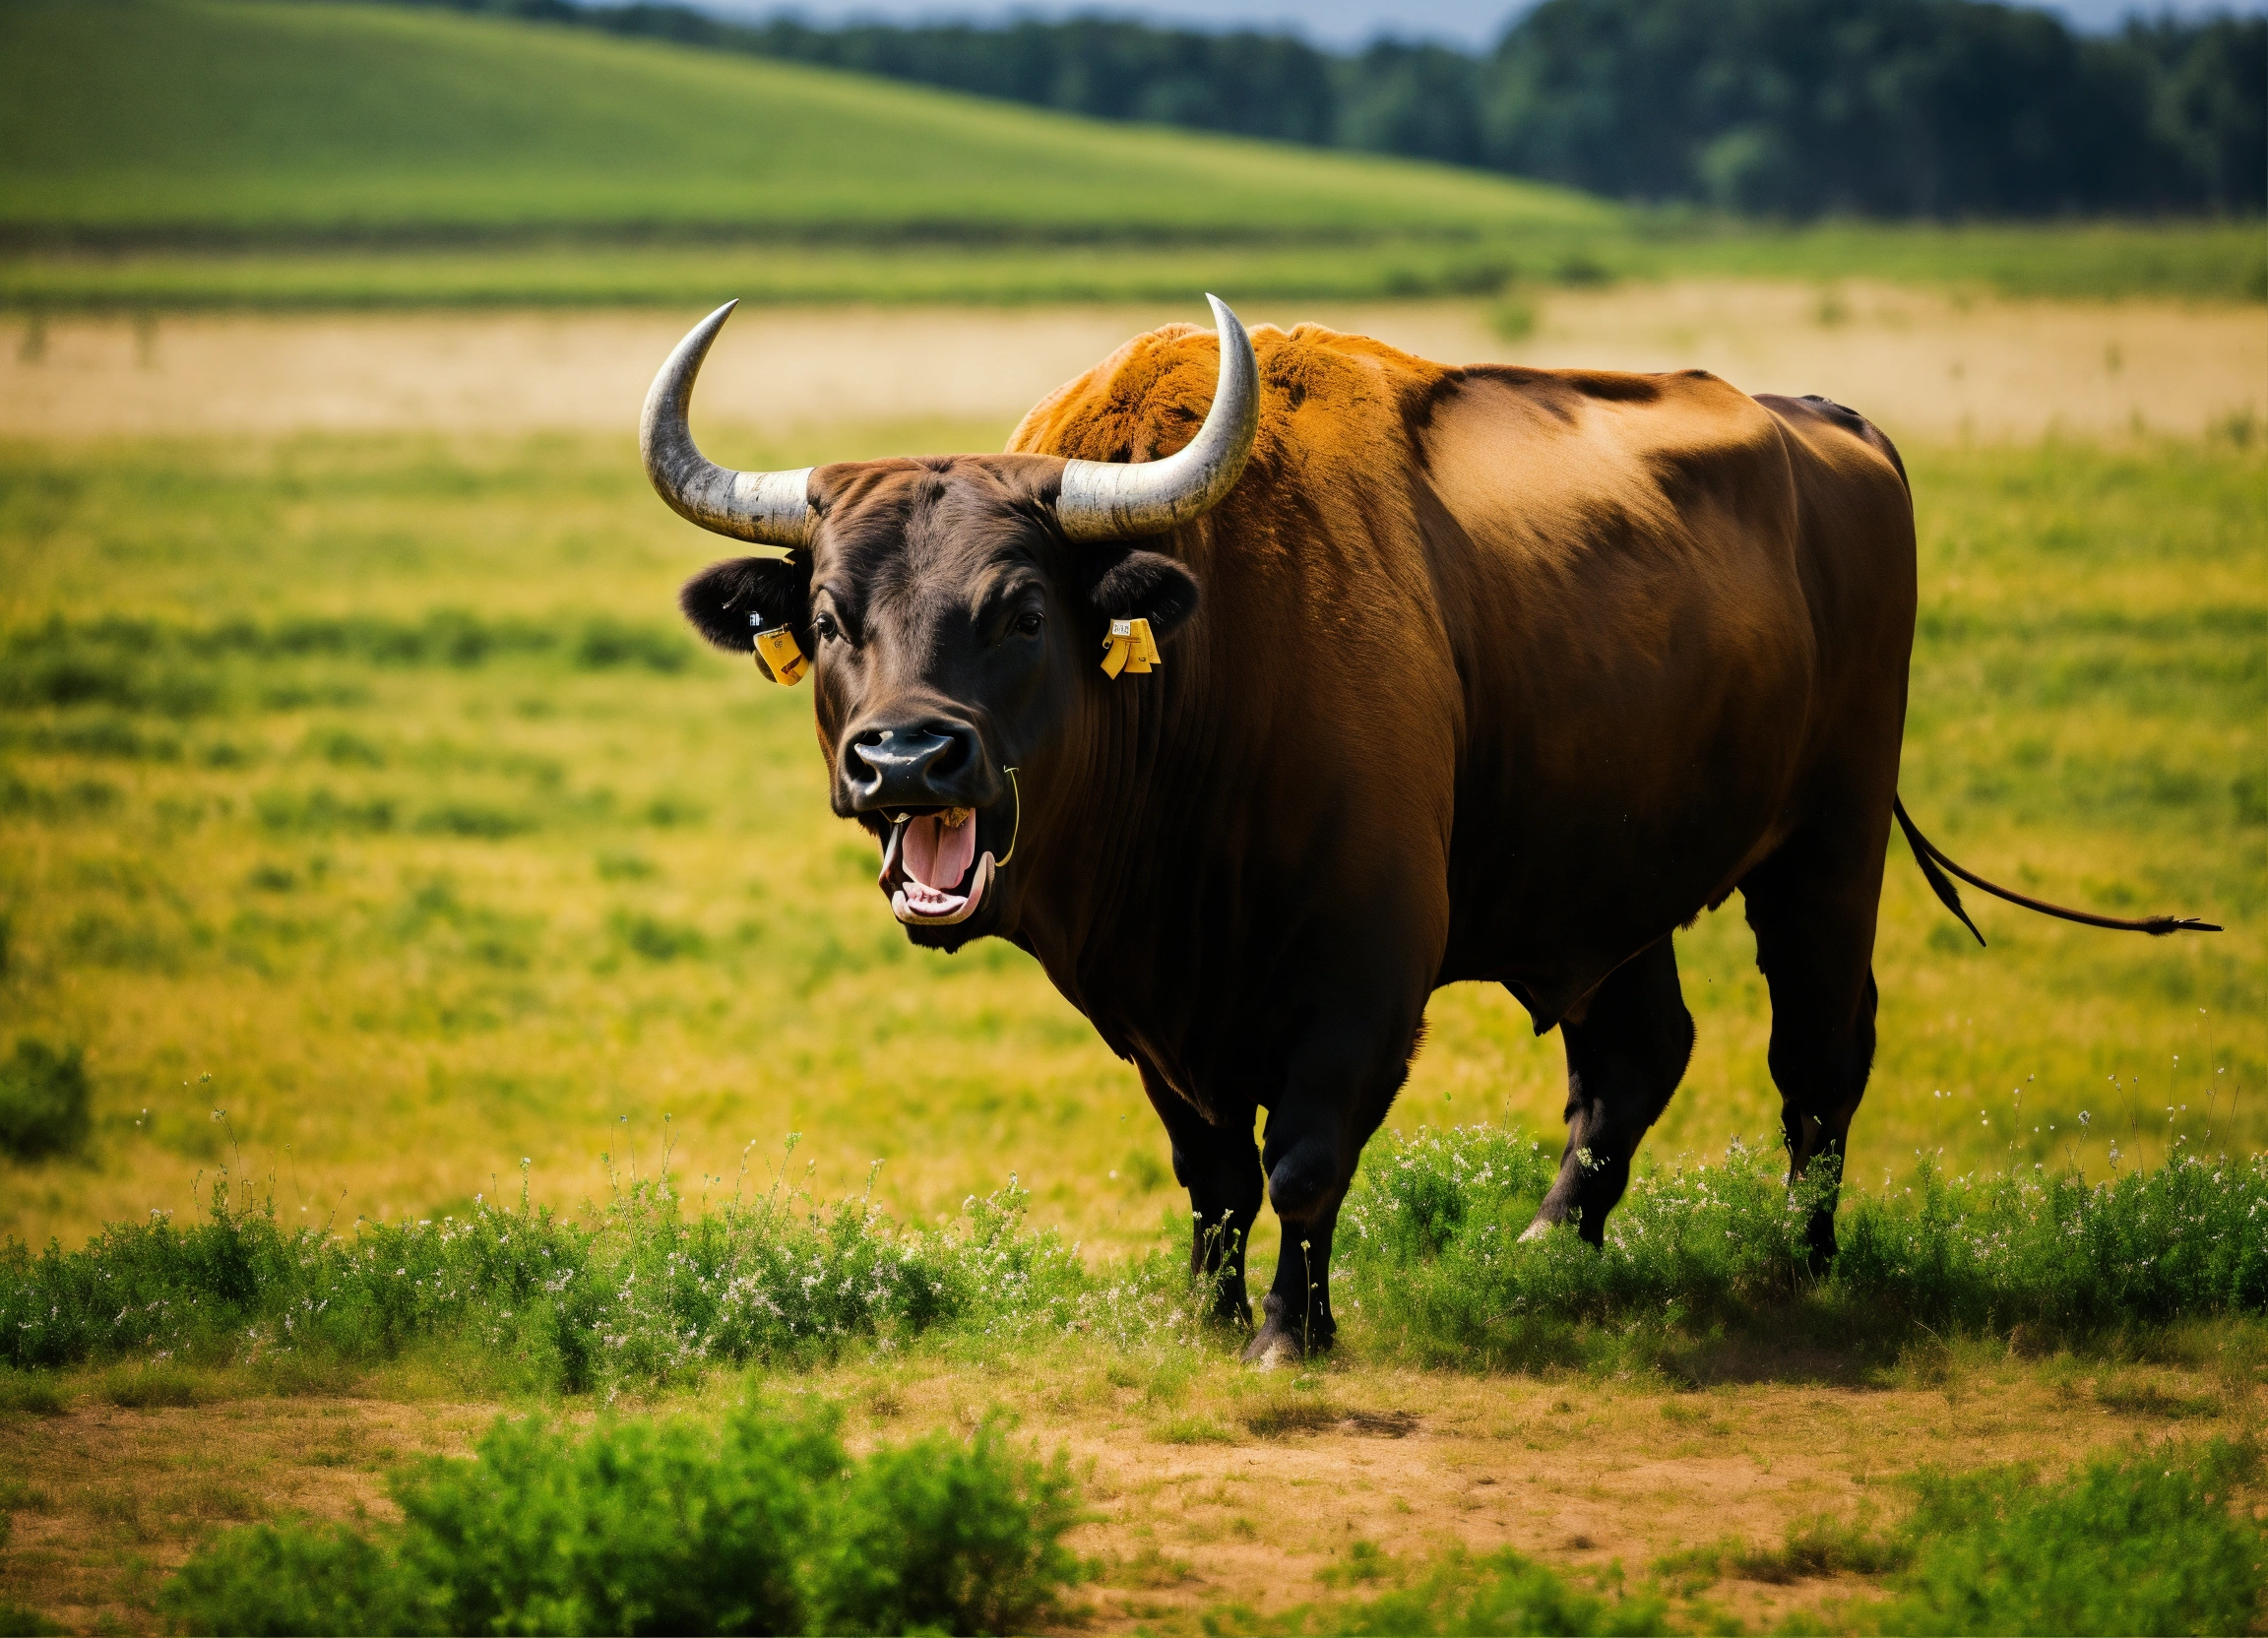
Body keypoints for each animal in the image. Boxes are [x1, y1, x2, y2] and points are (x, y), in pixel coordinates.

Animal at [643, 296, 2216, 1366]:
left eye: (1022, 610)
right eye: (830, 616)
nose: (905, 759)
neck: (1205, 665)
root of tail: (1837, 429)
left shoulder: (1363, 971)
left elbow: (1302, 1156)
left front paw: (1292, 1332)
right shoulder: (1154, 1015)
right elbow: (1213, 1171)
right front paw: (1212, 1316)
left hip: (1824, 850)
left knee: (1818, 1054)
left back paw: (1799, 1261)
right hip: (1609, 887)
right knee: (1636, 1051)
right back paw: (1551, 1248)